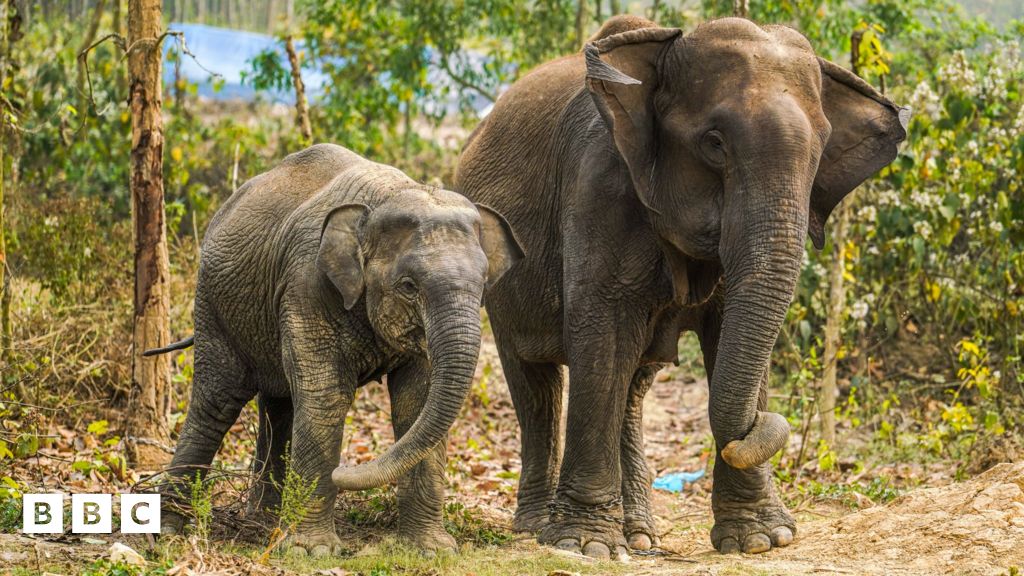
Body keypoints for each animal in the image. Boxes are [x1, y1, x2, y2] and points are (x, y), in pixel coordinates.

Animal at [147, 143, 522, 556]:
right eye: (408, 286)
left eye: (484, 284)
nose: (344, 471)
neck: (384, 199)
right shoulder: (305, 284)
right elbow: (326, 395)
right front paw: (311, 550)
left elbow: (418, 401)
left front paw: (431, 550)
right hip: (214, 306)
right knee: (216, 403)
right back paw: (171, 530)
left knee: (279, 407)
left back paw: (265, 524)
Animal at [455, 16, 907, 559]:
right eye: (714, 143)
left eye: (820, 151)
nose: (763, 425)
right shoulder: (597, 185)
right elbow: (603, 335)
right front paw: (584, 546)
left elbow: (726, 330)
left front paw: (760, 540)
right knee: (536, 383)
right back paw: (538, 528)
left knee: (631, 388)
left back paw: (639, 535)